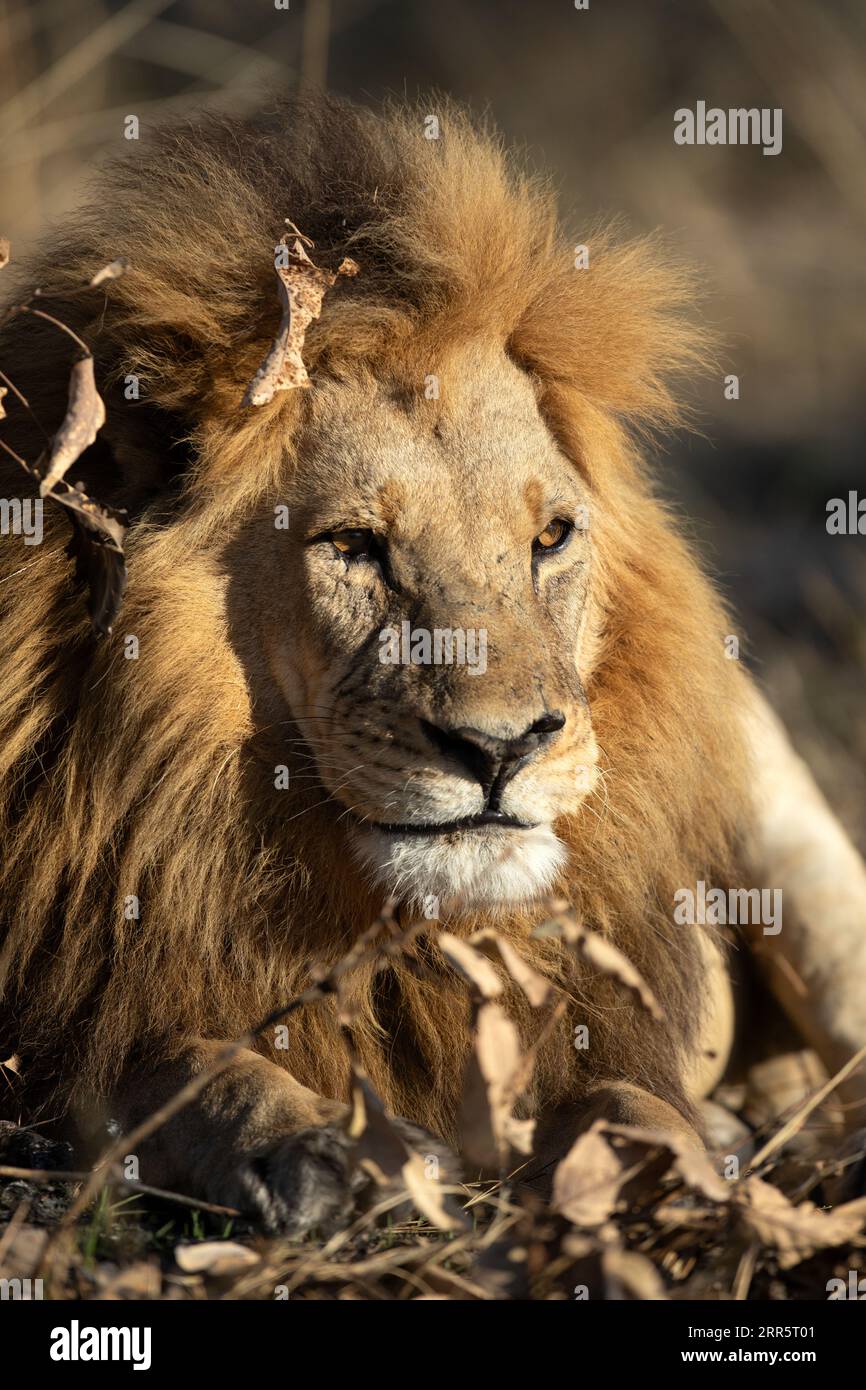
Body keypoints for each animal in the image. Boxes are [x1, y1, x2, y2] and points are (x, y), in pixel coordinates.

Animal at [1, 94, 865, 1233]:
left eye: (550, 537)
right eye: (353, 545)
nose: (501, 749)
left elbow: (630, 1093)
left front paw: (675, 1160)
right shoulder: (66, 1019)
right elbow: (180, 1065)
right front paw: (314, 1147)